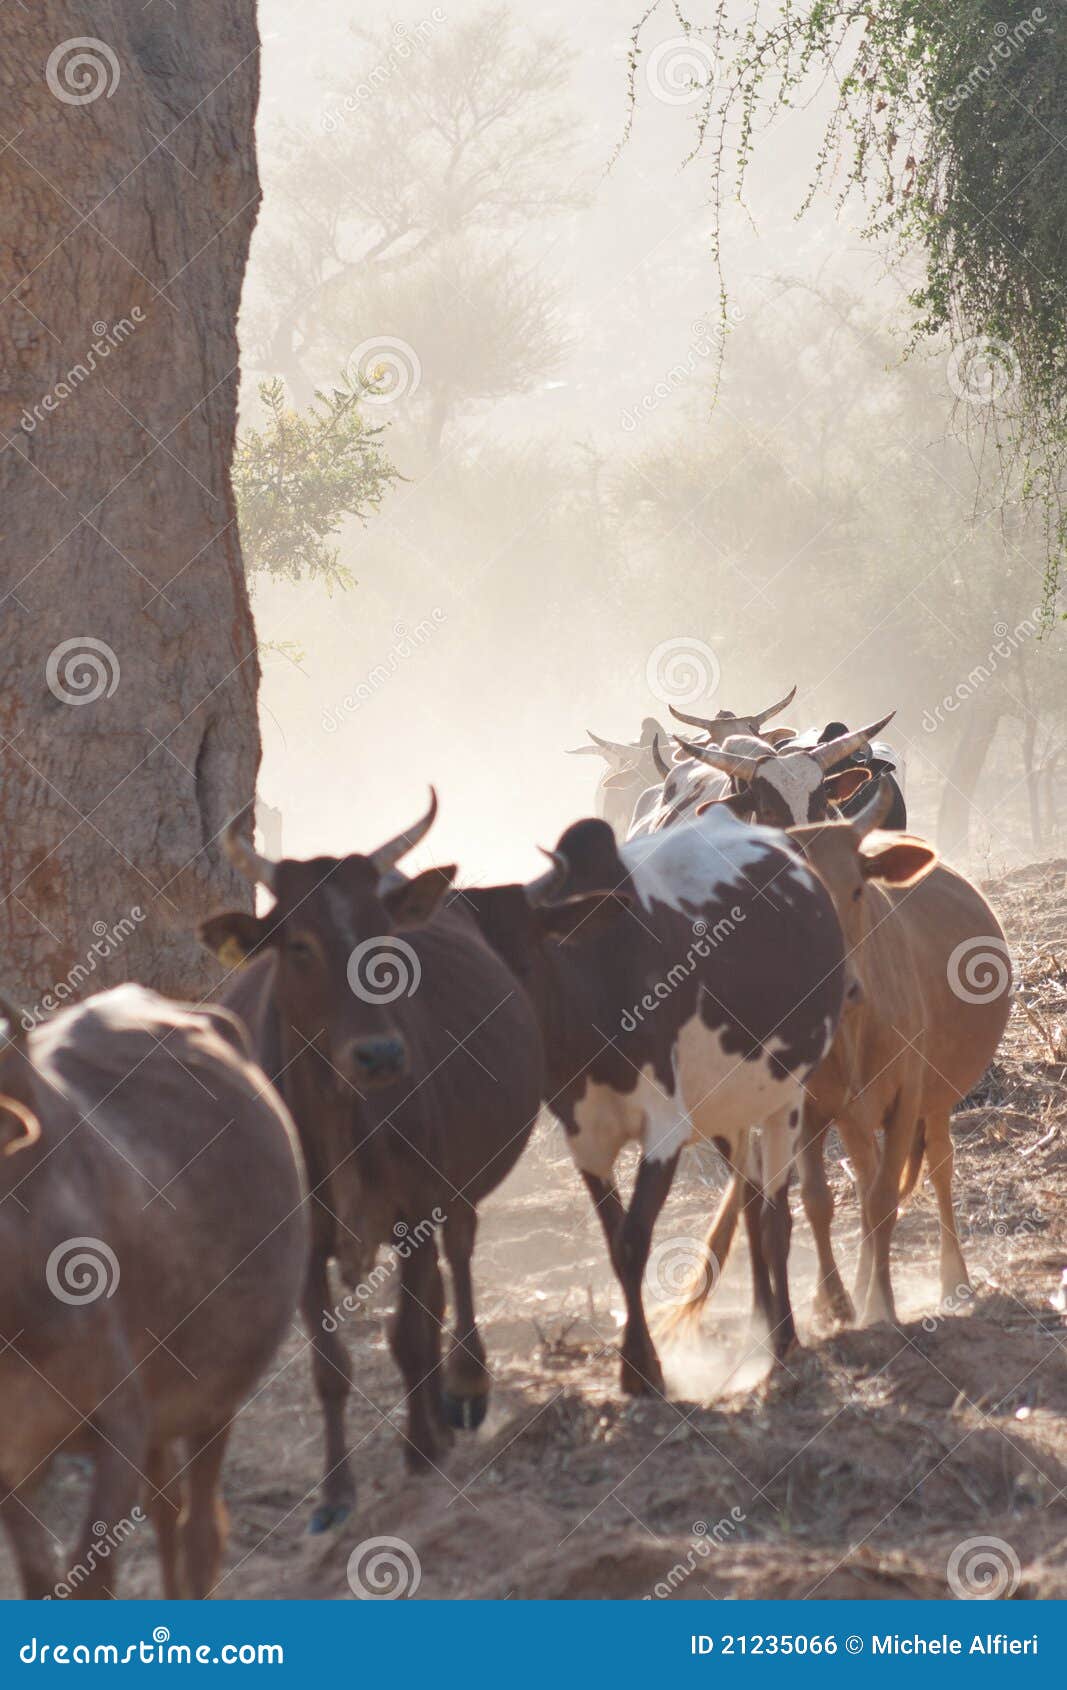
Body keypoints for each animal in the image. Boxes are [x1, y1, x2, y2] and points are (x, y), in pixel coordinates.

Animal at [0, 986, 307, 1599]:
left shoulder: (120, 1427)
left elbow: (92, 1579)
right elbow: (40, 1578)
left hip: (215, 1396)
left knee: (199, 1529)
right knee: (168, 1511)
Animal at [198, 793, 543, 1531]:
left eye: (385, 939)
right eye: (299, 945)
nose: (381, 1054)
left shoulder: (415, 1210)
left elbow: (411, 1335)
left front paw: (421, 1454)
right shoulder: (301, 1241)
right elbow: (331, 1364)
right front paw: (335, 1494)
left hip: (455, 1191)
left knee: (455, 1267)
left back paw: (462, 1389)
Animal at [461, 800, 846, 1389]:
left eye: (523, 956)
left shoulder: (663, 1129)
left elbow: (634, 1239)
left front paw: (640, 1370)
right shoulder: (585, 1142)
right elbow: (617, 1243)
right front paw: (641, 1366)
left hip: (785, 1097)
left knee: (774, 1215)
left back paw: (783, 1338)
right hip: (726, 1107)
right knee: (750, 1201)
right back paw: (758, 1325)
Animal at [666, 779, 1011, 1338]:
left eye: (855, 890)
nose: (839, 984)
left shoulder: (906, 1097)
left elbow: (884, 1201)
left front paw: (881, 1305)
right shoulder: (807, 1109)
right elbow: (820, 1201)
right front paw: (835, 1303)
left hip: (935, 1100)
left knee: (937, 1166)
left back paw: (952, 1279)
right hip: (851, 1117)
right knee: (866, 1180)